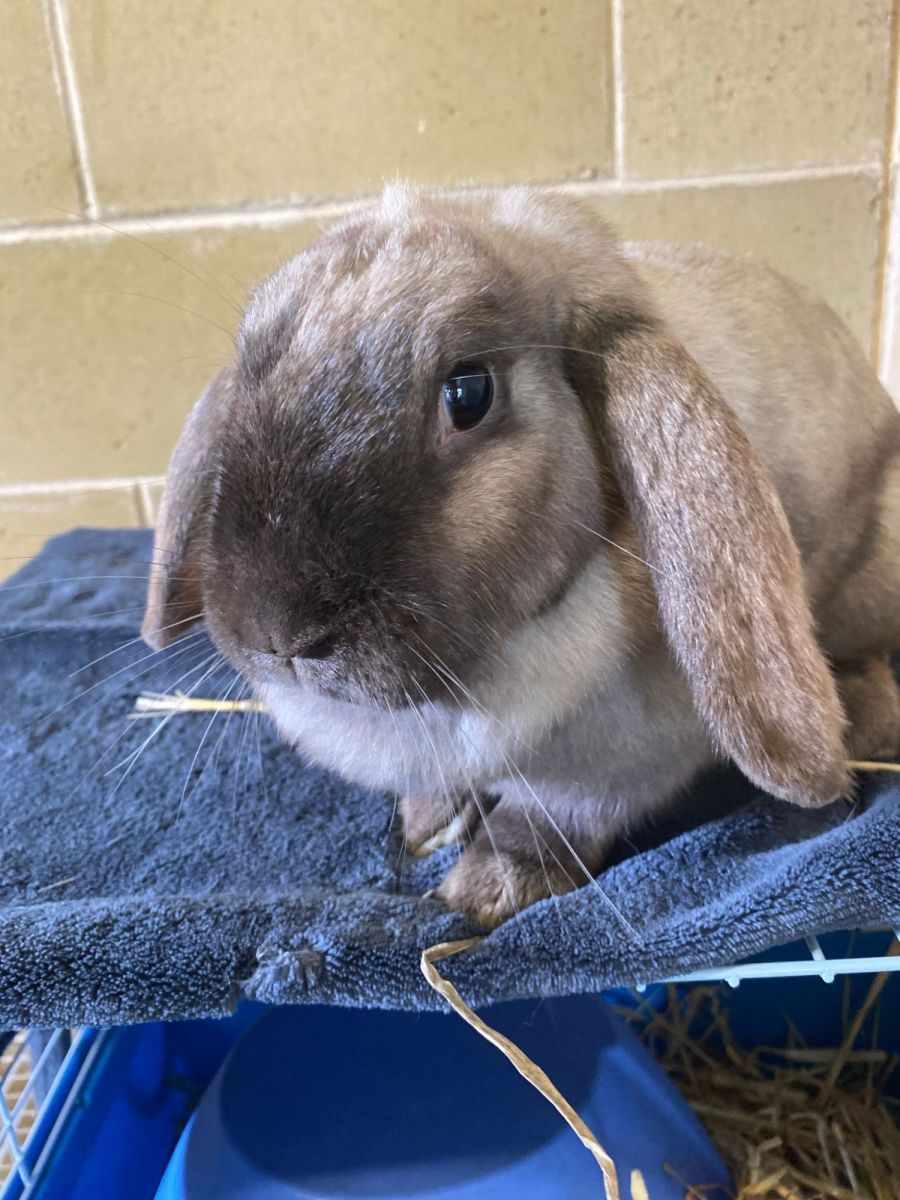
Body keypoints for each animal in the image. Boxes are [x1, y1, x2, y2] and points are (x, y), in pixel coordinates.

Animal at [142, 183, 900, 929]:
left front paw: (483, 890)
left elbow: (547, 820)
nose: (279, 637)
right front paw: (427, 824)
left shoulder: (621, 764)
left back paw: (868, 728)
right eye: (251, 374)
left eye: (469, 392)